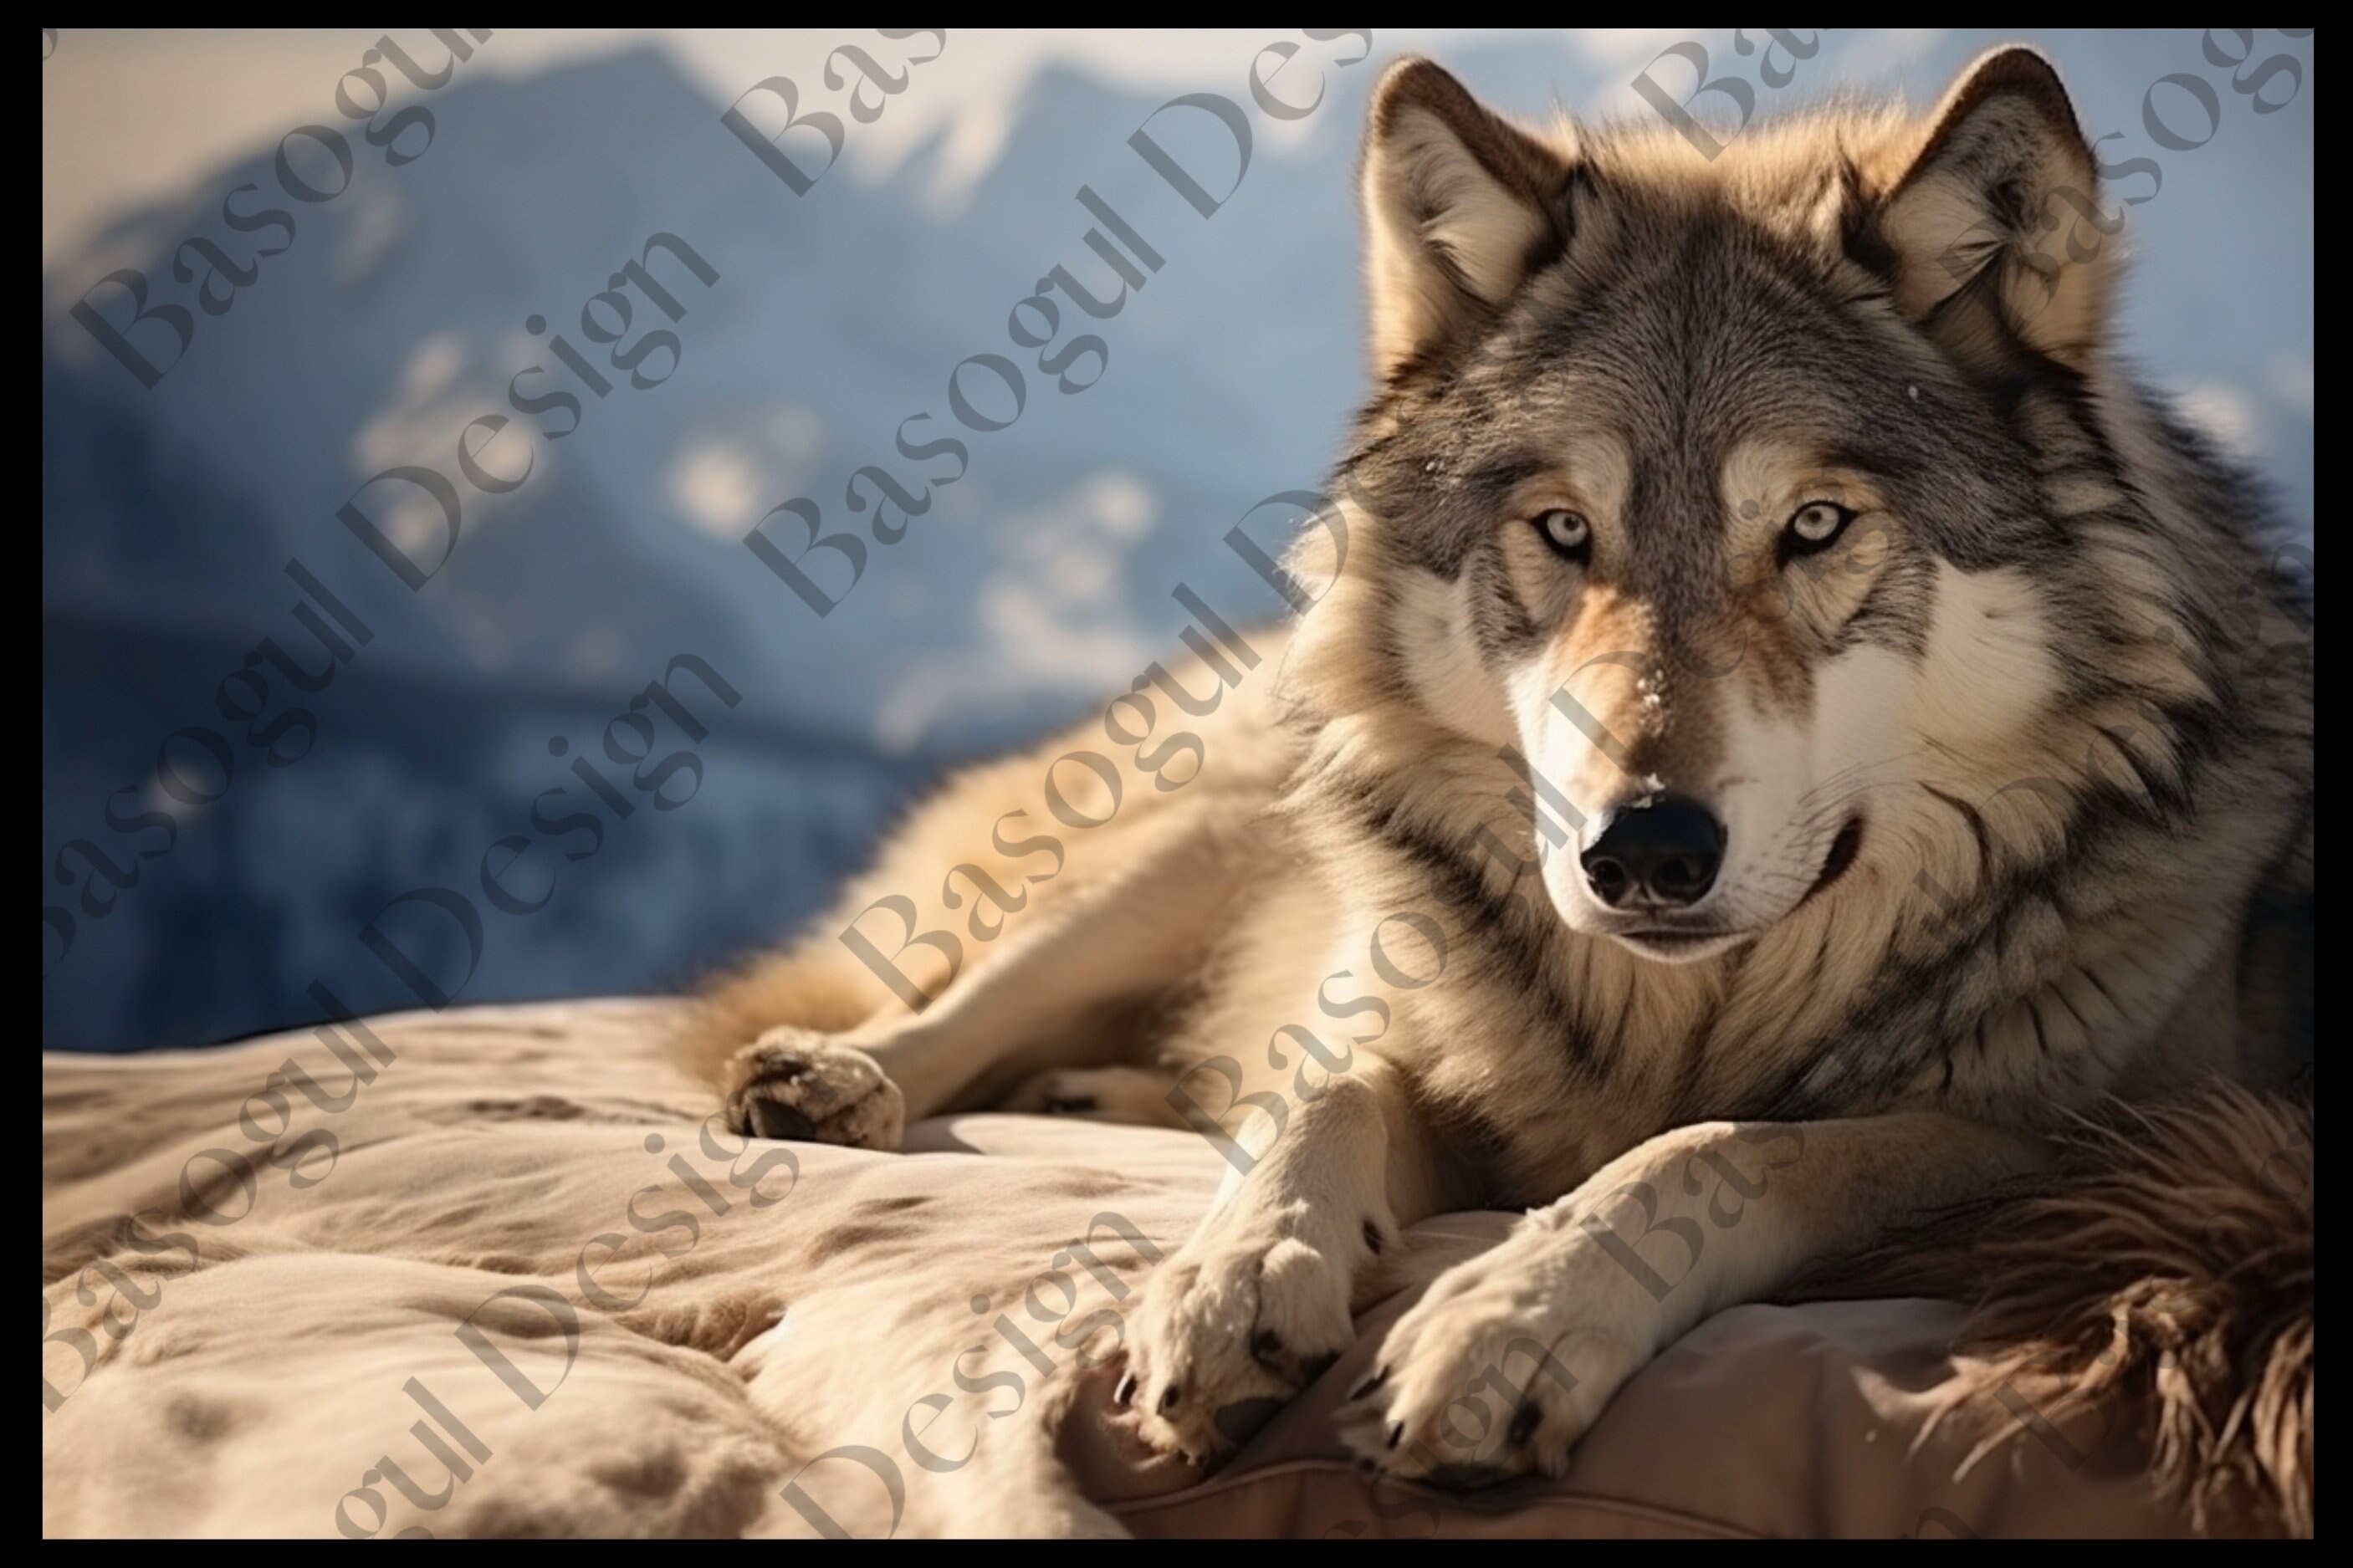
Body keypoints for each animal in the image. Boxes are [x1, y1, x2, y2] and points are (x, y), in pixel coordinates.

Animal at [682, 47, 2313, 1482]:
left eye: (1812, 528)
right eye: (1564, 532)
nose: (1641, 849)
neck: (1680, 1020)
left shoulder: (2059, 1142)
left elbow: (1724, 1150)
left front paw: (1508, 1325)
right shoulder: (1410, 1031)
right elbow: (1327, 1095)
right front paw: (1232, 1276)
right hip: (1186, 852)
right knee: (961, 1002)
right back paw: (839, 1080)